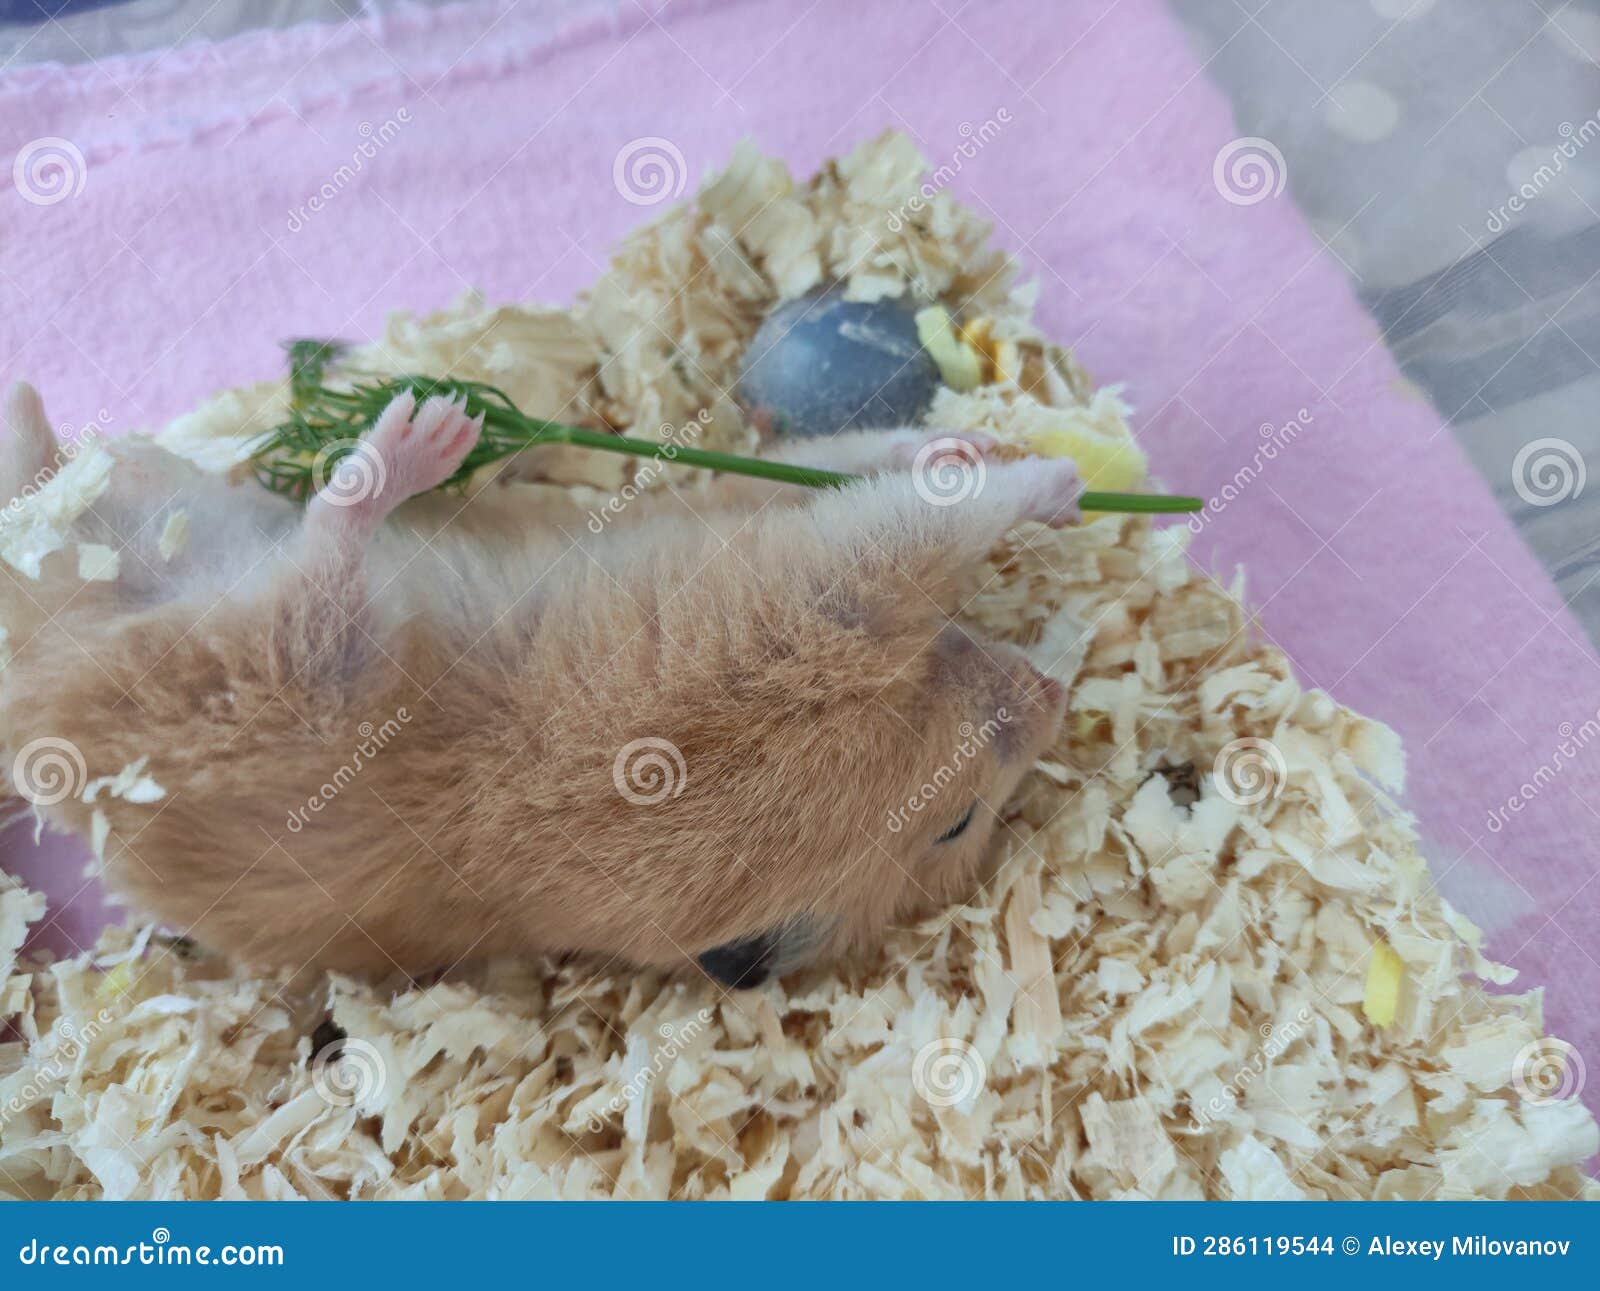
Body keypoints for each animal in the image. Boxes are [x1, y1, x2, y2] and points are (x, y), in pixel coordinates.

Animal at [0, 382, 1076, 987]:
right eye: (957, 822)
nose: (1049, 697)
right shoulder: (804, 598)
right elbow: (908, 513)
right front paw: (1045, 477)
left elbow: (830, 468)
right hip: (285, 678)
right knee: (322, 561)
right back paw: (426, 430)